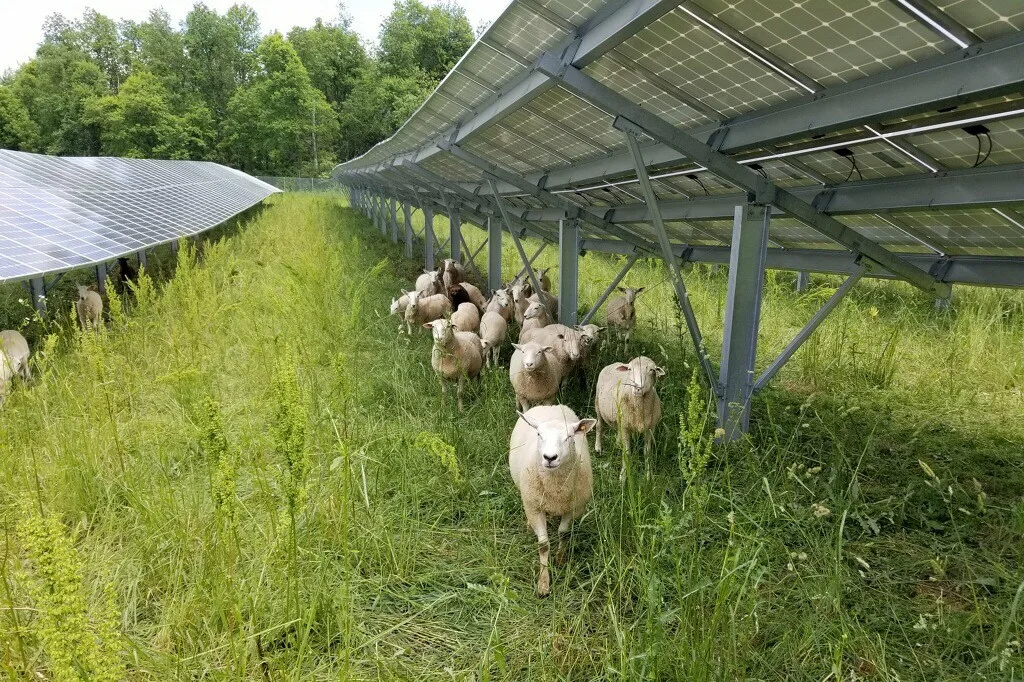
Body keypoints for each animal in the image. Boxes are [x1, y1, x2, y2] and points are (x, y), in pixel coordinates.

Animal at [509, 404, 596, 596]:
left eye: (569, 437)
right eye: (539, 434)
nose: (550, 457)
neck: (555, 488)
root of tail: (549, 405)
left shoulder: (573, 508)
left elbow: (564, 533)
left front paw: (560, 559)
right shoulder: (534, 507)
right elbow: (543, 545)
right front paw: (543, 583)